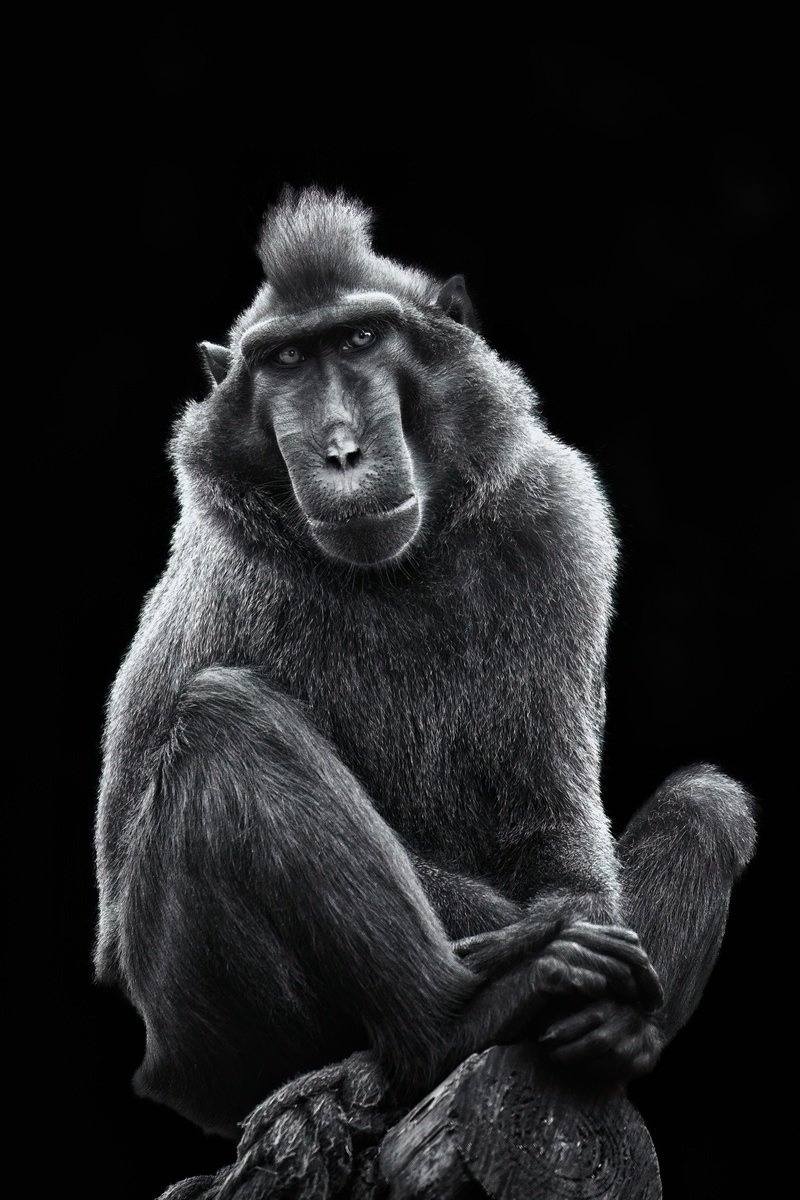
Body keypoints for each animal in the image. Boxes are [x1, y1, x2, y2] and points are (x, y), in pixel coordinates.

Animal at [94, 187, 756, 1179]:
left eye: (361, 339)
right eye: (286, 361)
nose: (341, 452)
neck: (405, 563)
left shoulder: (559, 514)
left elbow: (555, 830)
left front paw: (595, 970)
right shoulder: (234, 577)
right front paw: (545, 951)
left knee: (709, 803)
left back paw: (609, 1033)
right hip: (205, 1039)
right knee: (221, 724)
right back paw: (460, 1017)